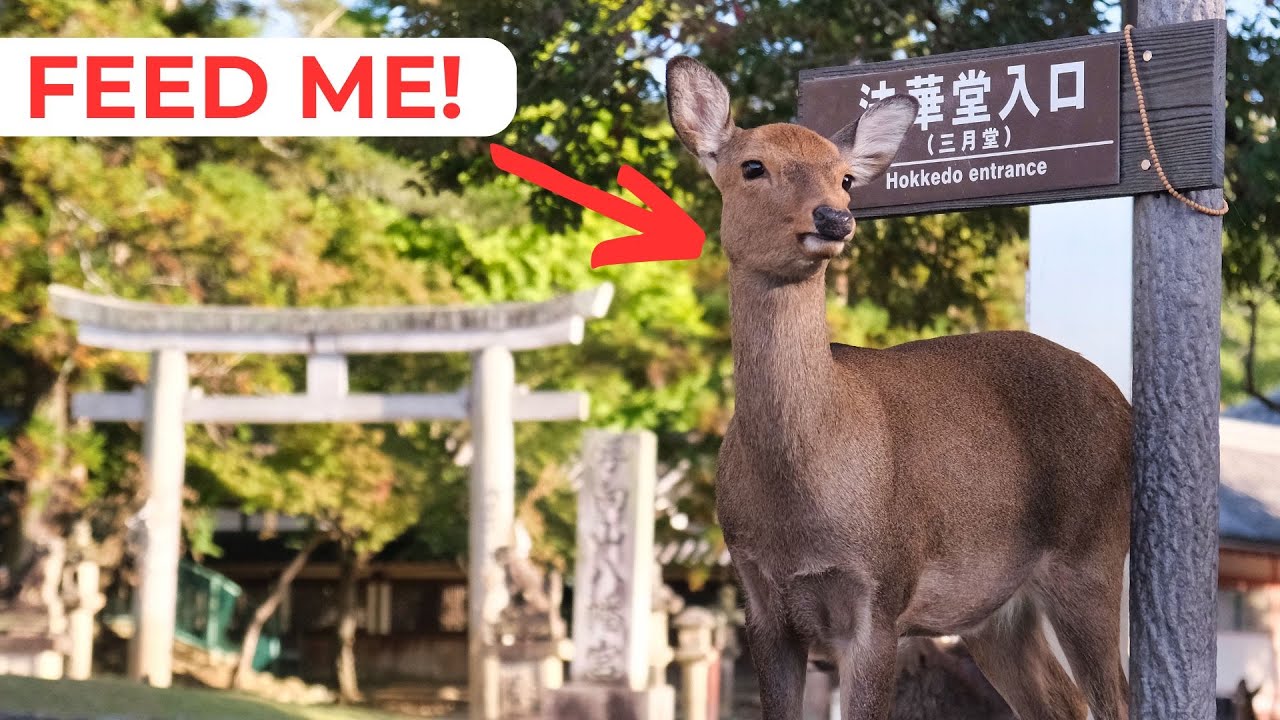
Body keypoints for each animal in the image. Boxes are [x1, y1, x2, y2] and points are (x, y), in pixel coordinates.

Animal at [665, 56, 1131, 720]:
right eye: (752, 166)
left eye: (845, 179)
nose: (834, 217)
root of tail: (1125, 405)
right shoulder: (759, 600)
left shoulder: (880, 593)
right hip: (995, 609)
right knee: (1061, 701)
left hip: (1092, 551)